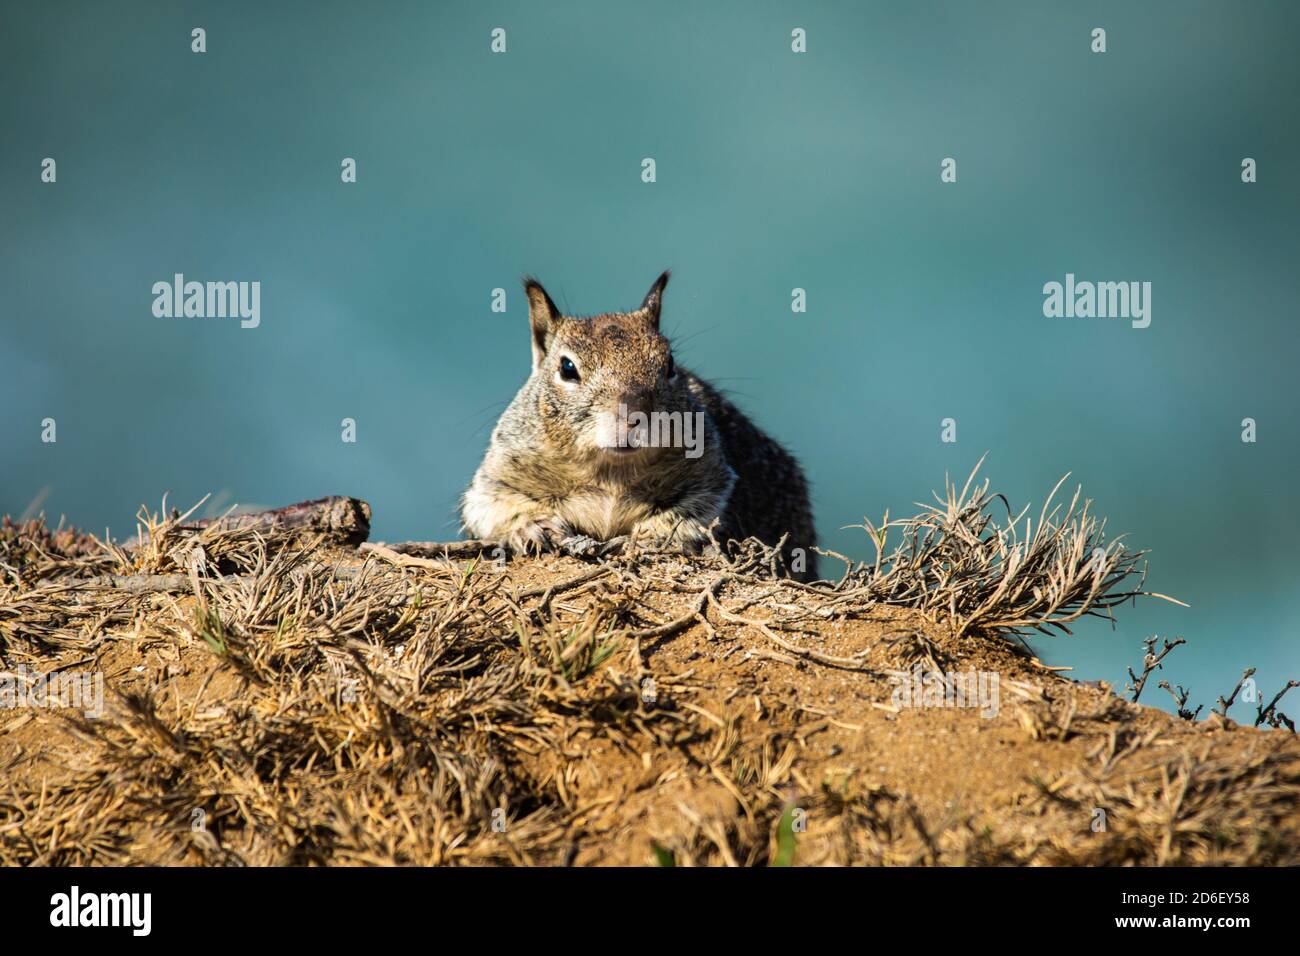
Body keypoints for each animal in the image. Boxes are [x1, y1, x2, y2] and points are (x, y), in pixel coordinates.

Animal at [461, 272, 818, 580]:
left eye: (670, 364)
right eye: (567, 368)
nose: (633, 415)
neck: (611, 472)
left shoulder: (713, 475)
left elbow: (693, 512)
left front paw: (646, 537)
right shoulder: (501, 469)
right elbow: (489, 506)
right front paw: (534, 527)